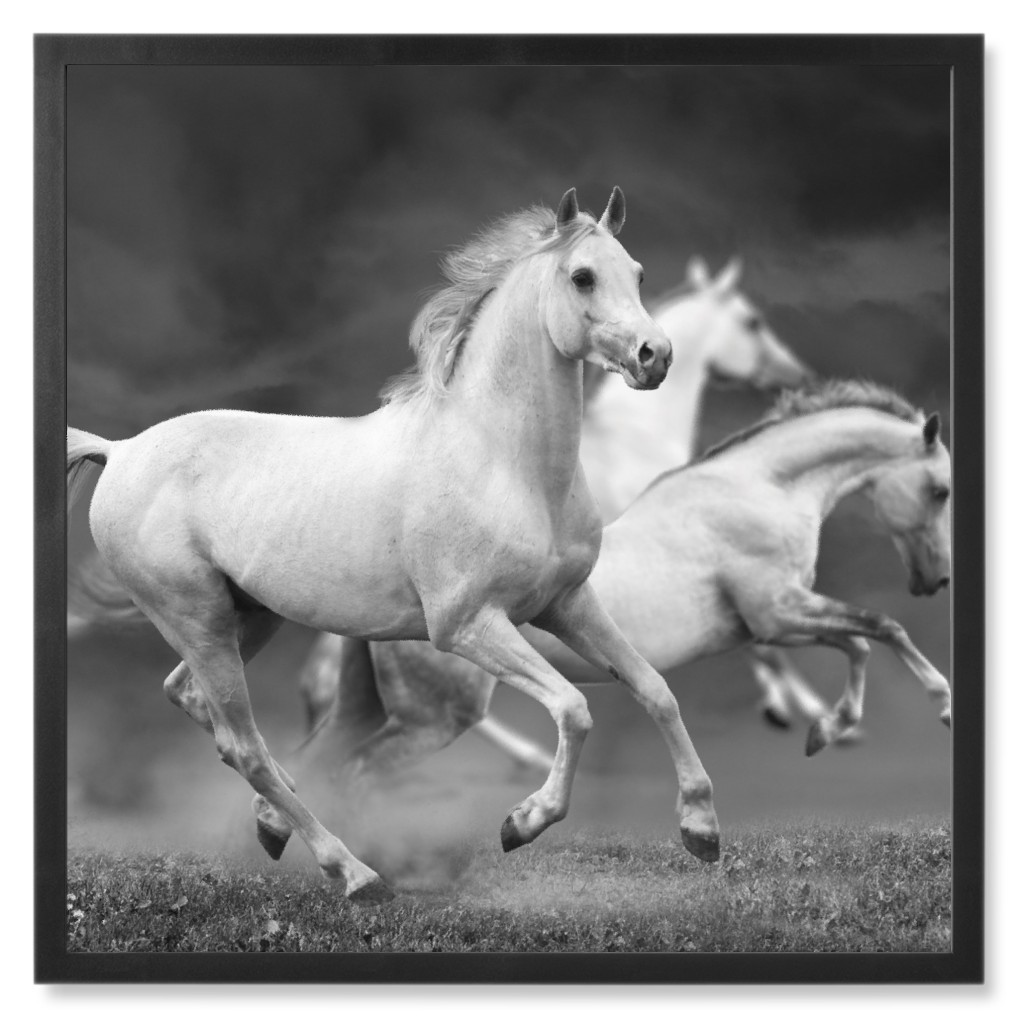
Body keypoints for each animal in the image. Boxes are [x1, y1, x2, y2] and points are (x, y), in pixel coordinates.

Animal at [67, 187, 725, 904]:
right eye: (582, 276)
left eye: (637, 273)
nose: (654, 356)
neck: (502, 462)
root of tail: (120, 450)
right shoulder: (467, 626)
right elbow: (574, 708)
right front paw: (523, 823)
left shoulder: (567, 605)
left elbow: (655, 688)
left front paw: (701, 831)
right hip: (199, 621)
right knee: (243, 745)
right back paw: (354, 873)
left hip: (249, 617)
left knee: (194, 701)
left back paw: (276, 823)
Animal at [300, 380, 951, 798]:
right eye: (942, 488)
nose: (936, 579)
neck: (759, 488)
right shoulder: (779, 614)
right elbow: (883, 628)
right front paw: (940, 706)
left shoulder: (776, 625)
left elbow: (861, 643)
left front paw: (824, 730)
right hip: (437, 717)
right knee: (358, 775)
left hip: (387, 711)